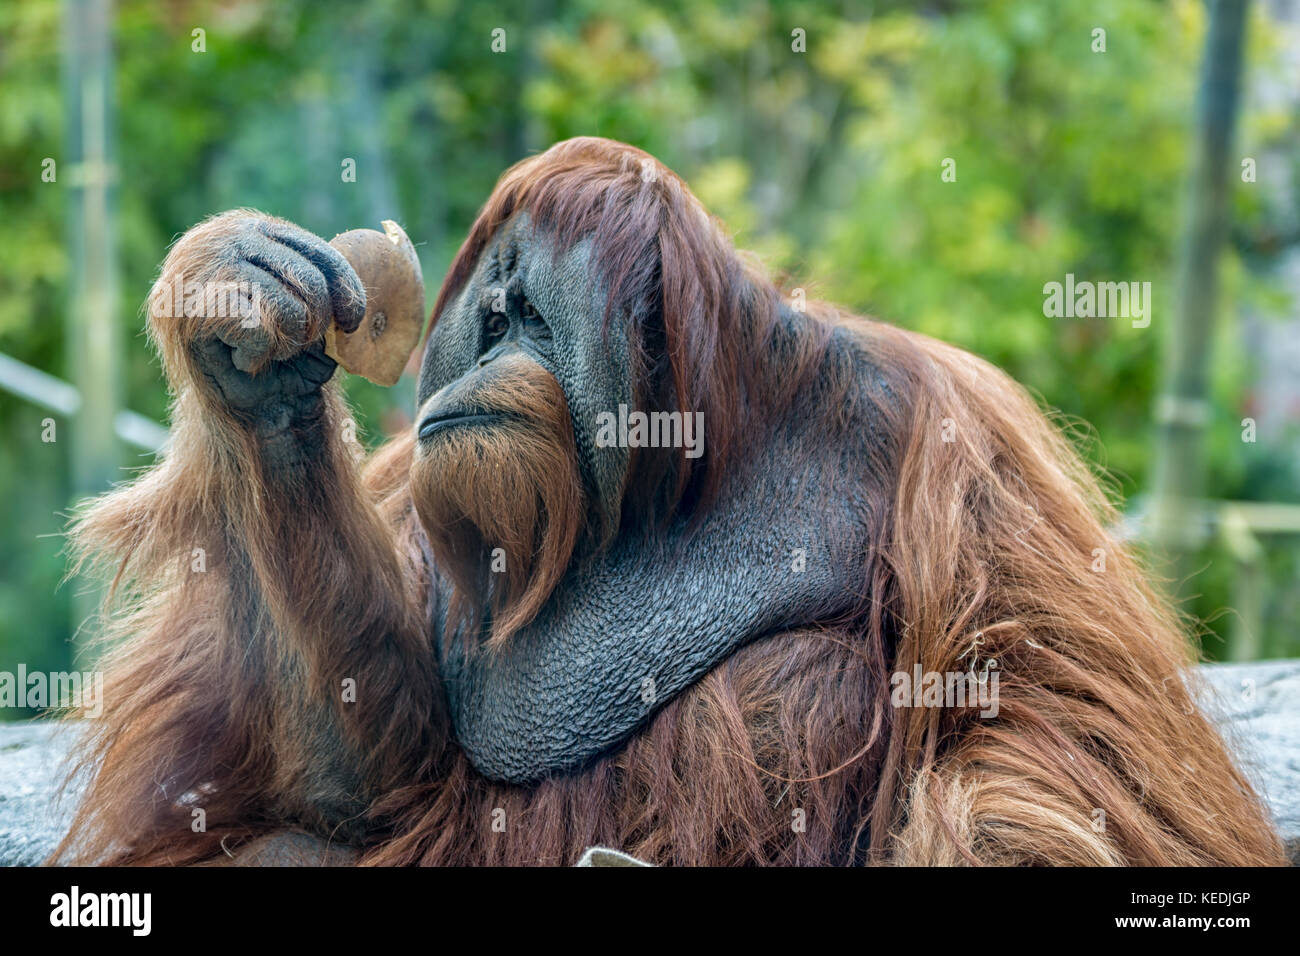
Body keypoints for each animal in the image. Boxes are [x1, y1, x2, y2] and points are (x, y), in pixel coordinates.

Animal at [56, 138, 1286, 866]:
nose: (481, 350)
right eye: (484, 316)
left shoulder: (951, 433)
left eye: (529, 318)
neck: (663, 478)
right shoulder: (419, 478)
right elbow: (353, 785)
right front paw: (243, 338)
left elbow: (1042, 732)